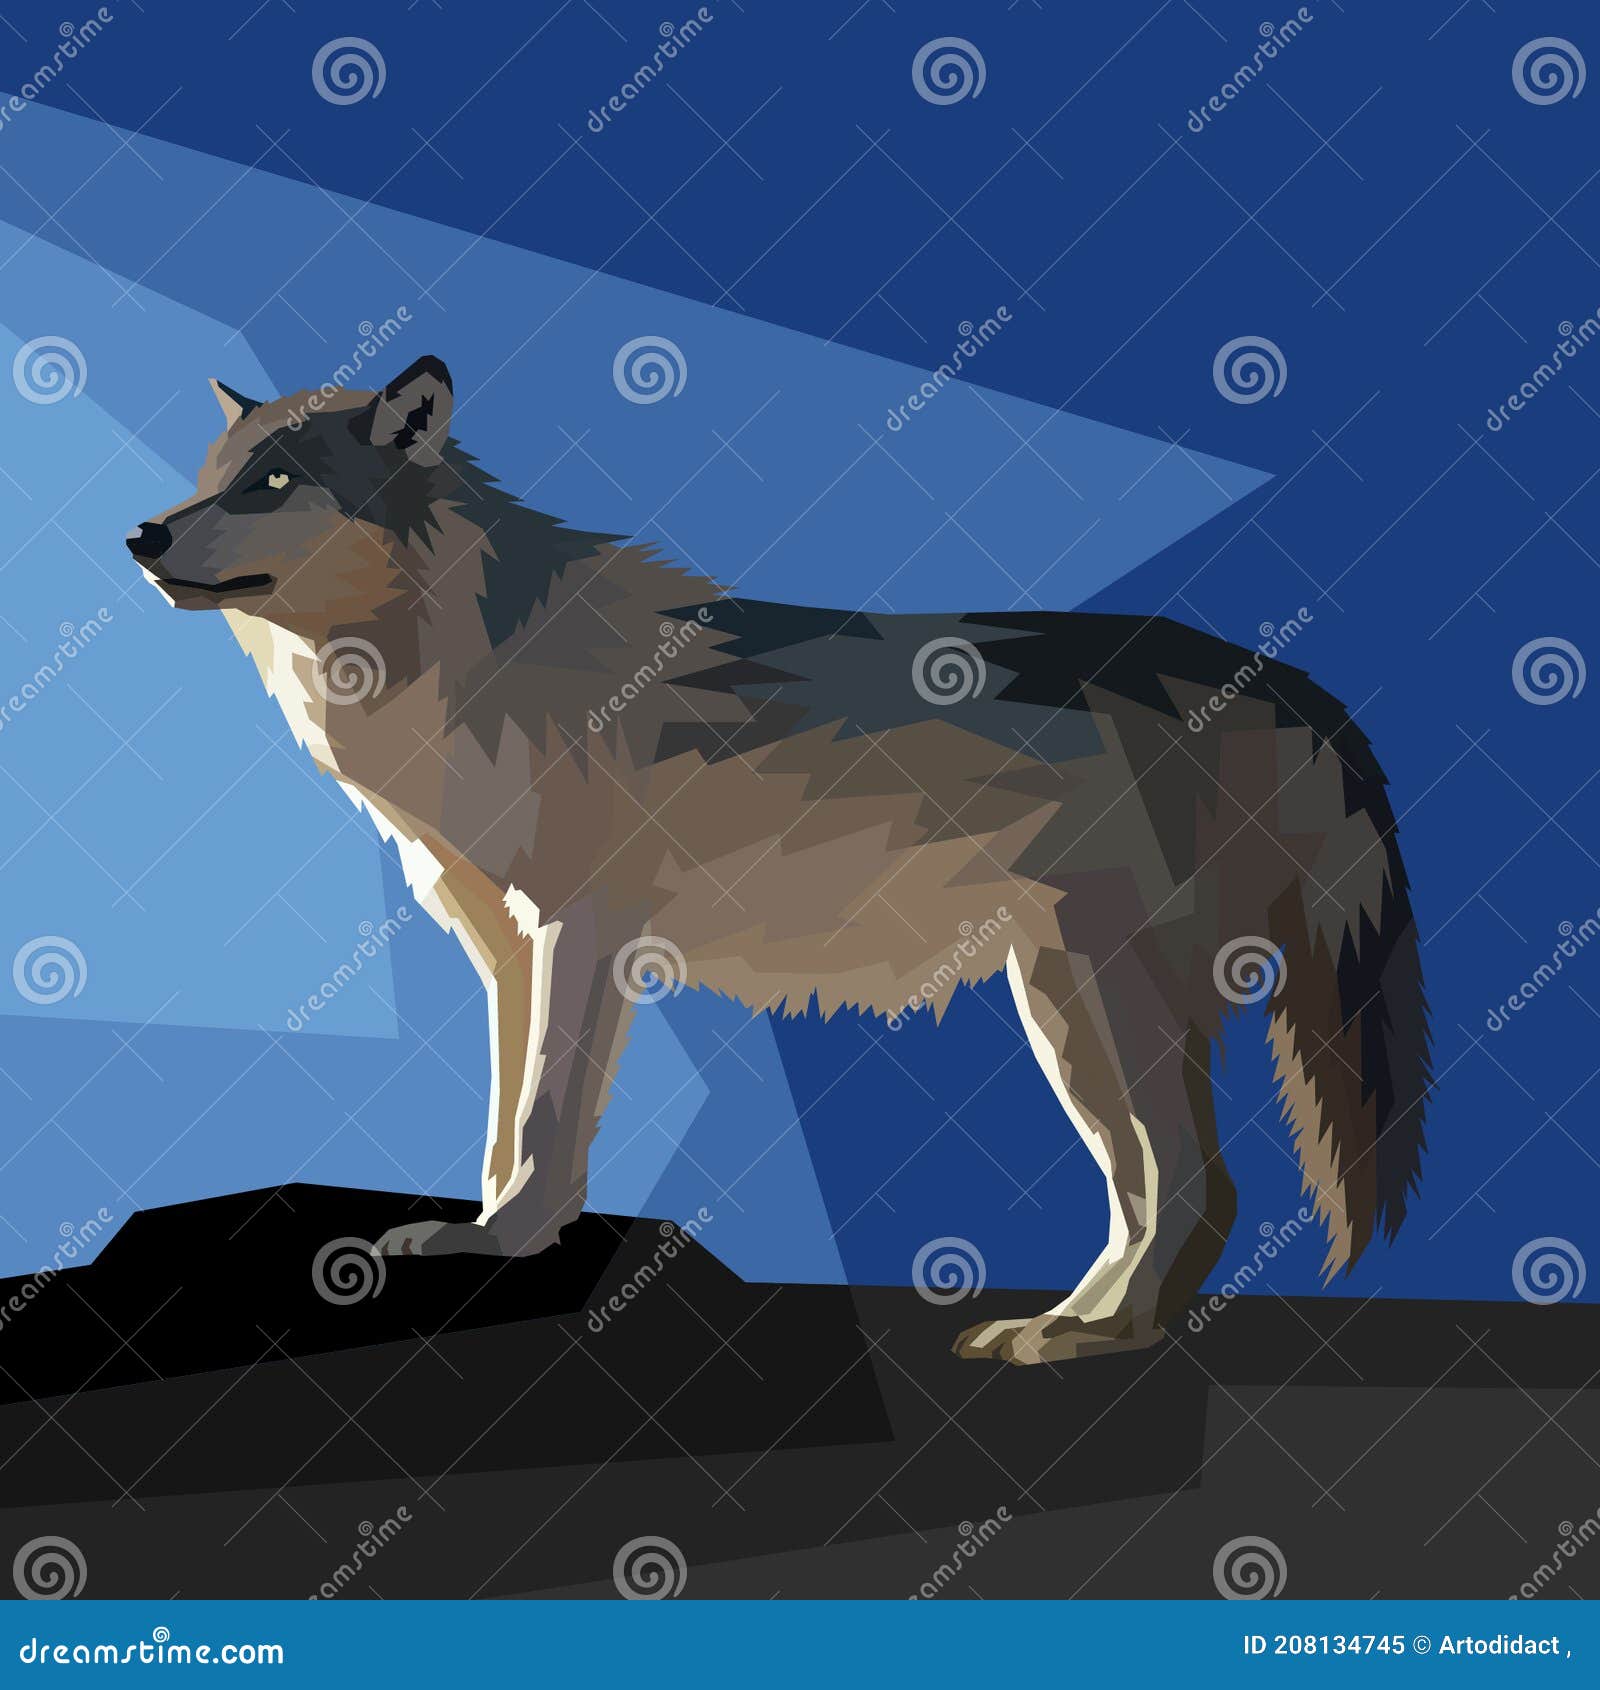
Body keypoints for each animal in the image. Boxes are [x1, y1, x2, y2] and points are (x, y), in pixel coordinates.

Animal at [125, 356, 1430, 1364]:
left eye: (275, 482)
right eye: (209, 477)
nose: (141, 532)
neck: (461, 667)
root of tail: (1280, 681)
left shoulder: (580, 935)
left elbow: (543, 1121)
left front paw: (506, 1238)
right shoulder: (507, 950)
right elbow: (501, 1122)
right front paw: (482, 1233)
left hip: (1108, 997)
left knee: (1200, 1186)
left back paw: (1084, 1338)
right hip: (1061, 1004)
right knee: (1151, 1191)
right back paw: (1064, 1321)